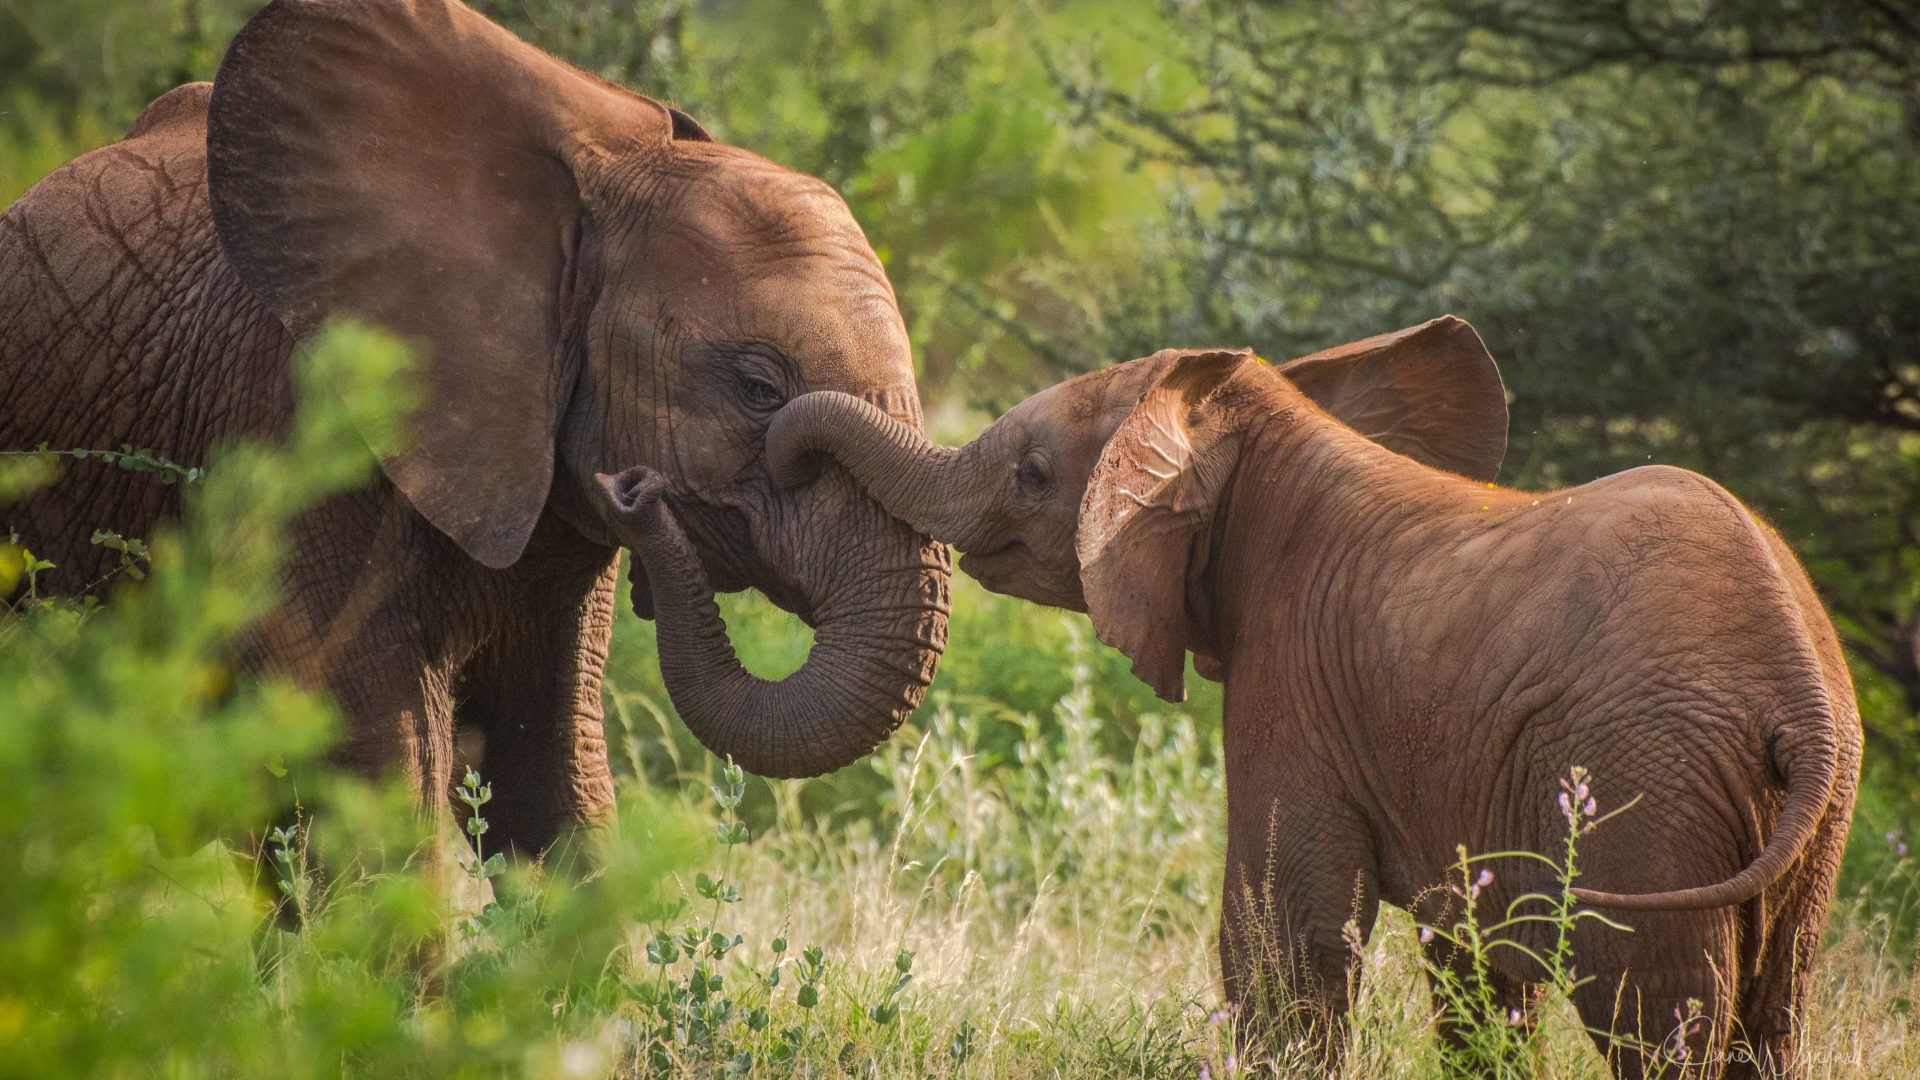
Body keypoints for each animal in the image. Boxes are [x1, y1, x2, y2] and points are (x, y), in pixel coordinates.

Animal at [767, 317, 1860, 1078]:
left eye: (1033, 474)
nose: (777, 444)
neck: (1253, 432)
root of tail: (1801, 693)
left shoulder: (1290, 679)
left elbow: (1283, 940)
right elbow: (1473, 960)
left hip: (1648, 790)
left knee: (1656, 1017)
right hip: (1802, 817)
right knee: (1774, 1009)